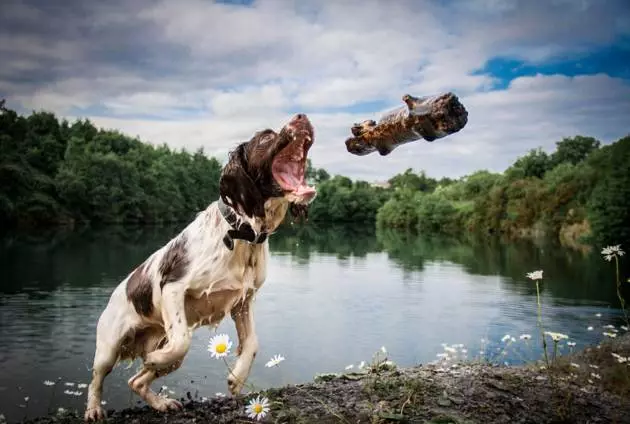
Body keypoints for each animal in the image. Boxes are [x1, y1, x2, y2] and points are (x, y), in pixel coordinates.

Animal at [84, 112, 318, 420]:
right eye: (265, 137)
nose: (302, 116)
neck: (240, 232)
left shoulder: (243, 300)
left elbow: (252, 343)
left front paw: (237, 378)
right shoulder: (172, 286)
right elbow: (182, 342)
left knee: (137, 380)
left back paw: (161, 401)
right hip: (109, 347)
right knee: (98, 378)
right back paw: (94, 410)